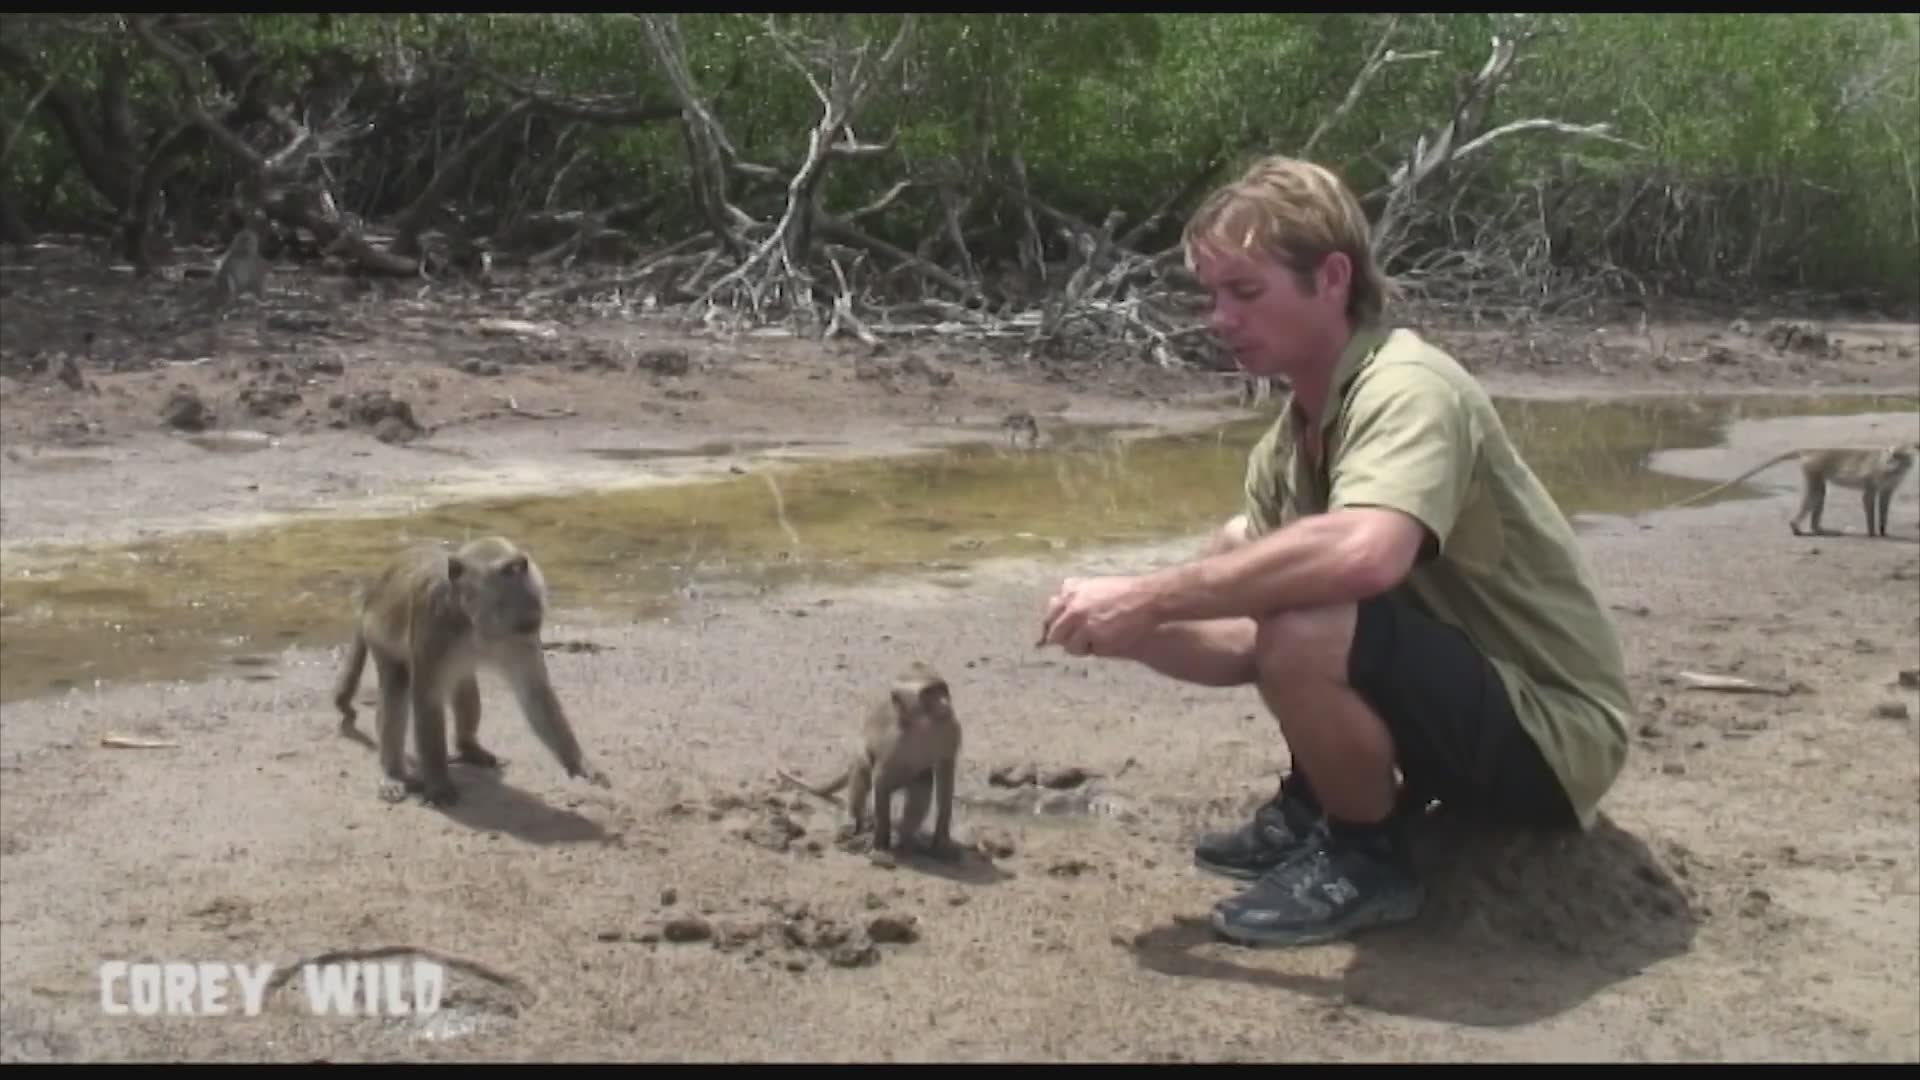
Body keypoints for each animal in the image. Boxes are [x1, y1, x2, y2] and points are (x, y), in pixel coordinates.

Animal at [332, 535, 609, 806]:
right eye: (508, 570)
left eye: (521, 567)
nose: (524, 572)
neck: (469, 619)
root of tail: (372, 593)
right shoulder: (432, 622)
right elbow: (427, 701)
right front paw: (439, 784)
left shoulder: (521, 638)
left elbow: (535, 692)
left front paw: (579, 764)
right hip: (379, 640)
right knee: (396, 689)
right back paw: (393, 773)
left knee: (464, 685)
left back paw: (468, 747)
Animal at [777, 661, 962, 858]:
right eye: (928, 693)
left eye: (942, 689)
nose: (944, 703)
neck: (922, 724)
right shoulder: (894, 741)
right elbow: (879, 778)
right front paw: (880, 842)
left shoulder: (950, 729)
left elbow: (945, 775)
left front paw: (941, 841)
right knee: (862, 770)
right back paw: (855, 819)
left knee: (922, 782)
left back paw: (904, 836)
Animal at [1662, 441, 1920, 538]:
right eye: (1891, 457)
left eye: (1901, 459)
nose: (1892, 464)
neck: (1889, 471)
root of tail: (1812, 450)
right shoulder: (1875, 475)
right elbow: (1868, 497)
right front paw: (1872, 532)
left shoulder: (1891, 482)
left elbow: (1885, 500)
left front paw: (1883, 530)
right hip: (1813, 467)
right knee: (1815, 494)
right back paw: (1796, 526)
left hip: (1813, 468)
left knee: (1819, 494)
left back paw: (1816, 528)